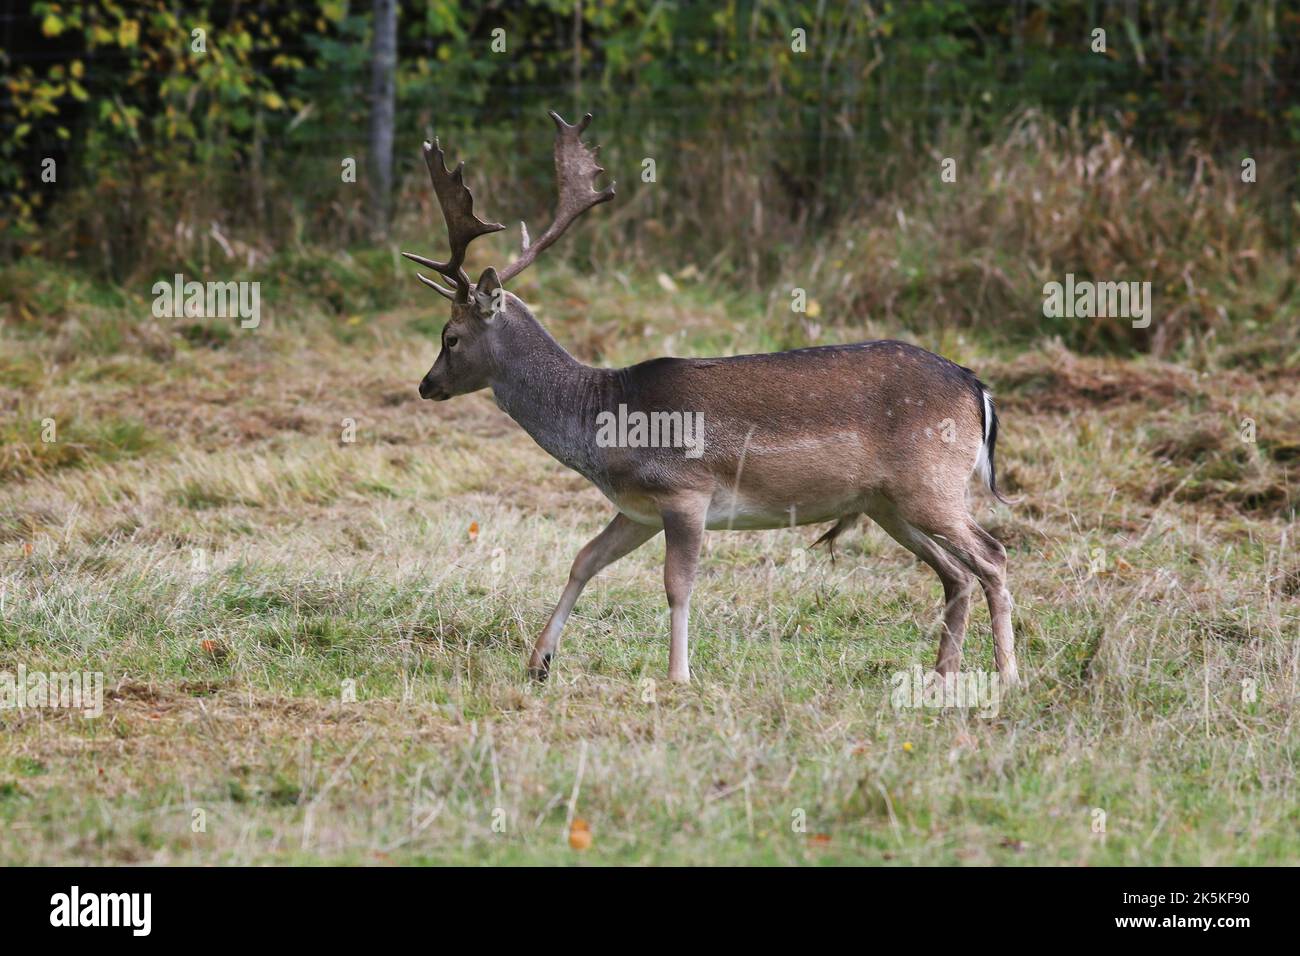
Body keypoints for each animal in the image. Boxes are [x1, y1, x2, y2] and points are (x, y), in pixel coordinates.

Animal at [403, 110, 1018, 688]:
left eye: (449, 336)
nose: (426, 384)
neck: (603, 418)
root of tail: (977, 387)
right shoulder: (638, 508)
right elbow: (584, 560)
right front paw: (539, 662)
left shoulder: (685, 491)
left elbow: (677, 585)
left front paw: (678, 675)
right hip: (887, 503)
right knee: (955, 572)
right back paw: (943, 674)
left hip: (929, 484)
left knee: (992, 554)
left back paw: (1008, 674)